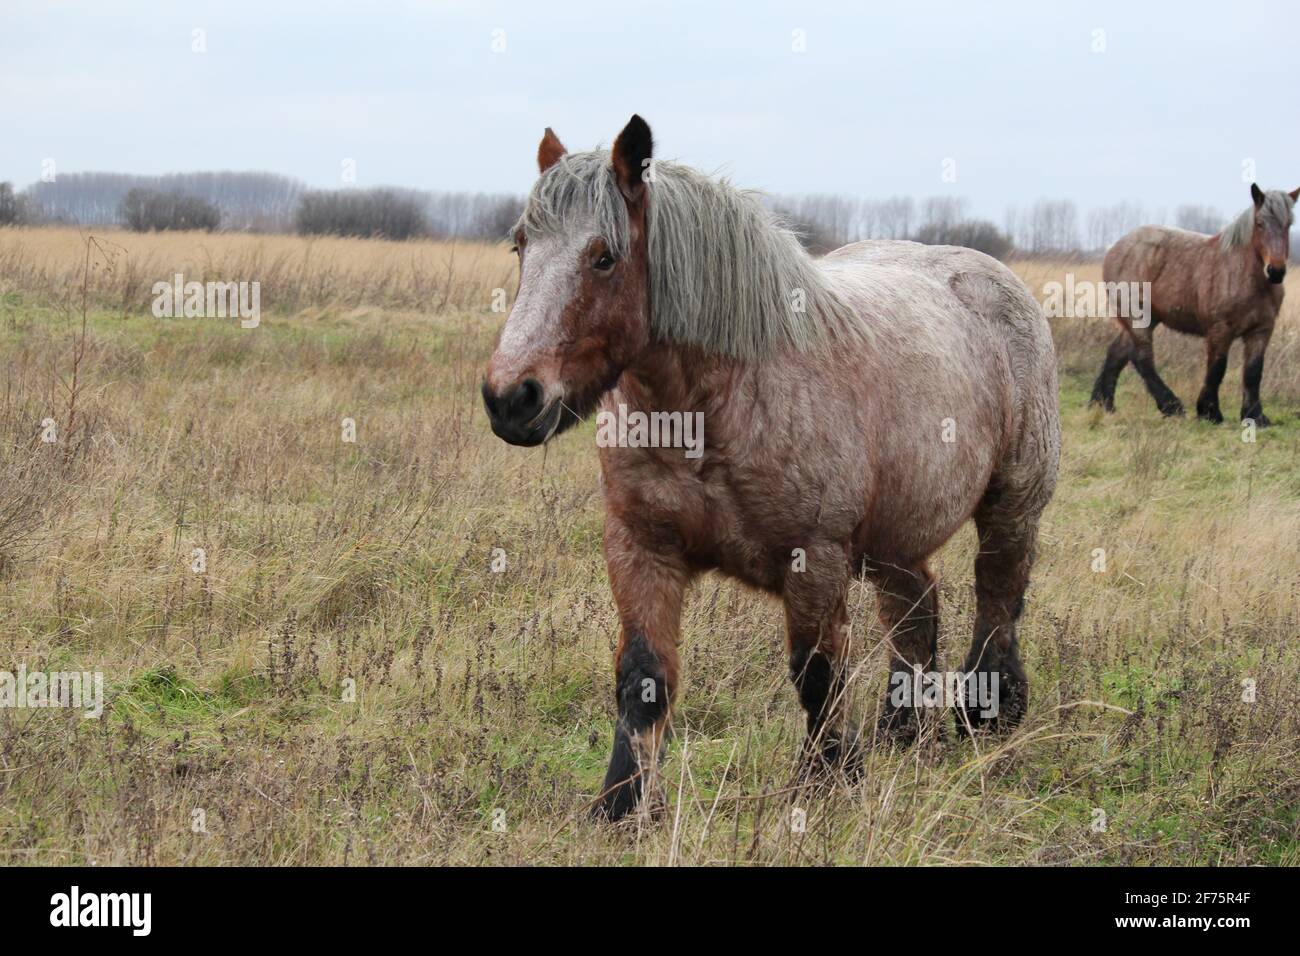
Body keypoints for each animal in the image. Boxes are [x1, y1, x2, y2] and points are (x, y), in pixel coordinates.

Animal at [482, 115, 1061, 822]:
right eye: (521, 248)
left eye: (604, 257)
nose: (512, 399)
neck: (714, 407)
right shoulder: (640, 546)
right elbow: (643, 677)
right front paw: (620, 804)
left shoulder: (816, 559)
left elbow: (816, 675)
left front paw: (825, 784)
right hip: (892, 537)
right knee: (915, 611)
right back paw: (902, 732)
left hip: (1011, 505)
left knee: (998, 596)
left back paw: (987, 712)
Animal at [1090, 184, 1297, 425]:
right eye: (1260, 223)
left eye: (1288, 224)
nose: (1276, 271)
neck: (1245, 275)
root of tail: (1115, 248)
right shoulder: (1220, 329)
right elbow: (1217, 368)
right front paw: (1210, 412)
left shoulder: (1261, 331)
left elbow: (1253, 372)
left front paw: (1255, 416)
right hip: (1137, 316)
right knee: (1142, 358)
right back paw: (1171, 406)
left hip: (1147, 319)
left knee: (1118, 352)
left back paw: (1103, 404)